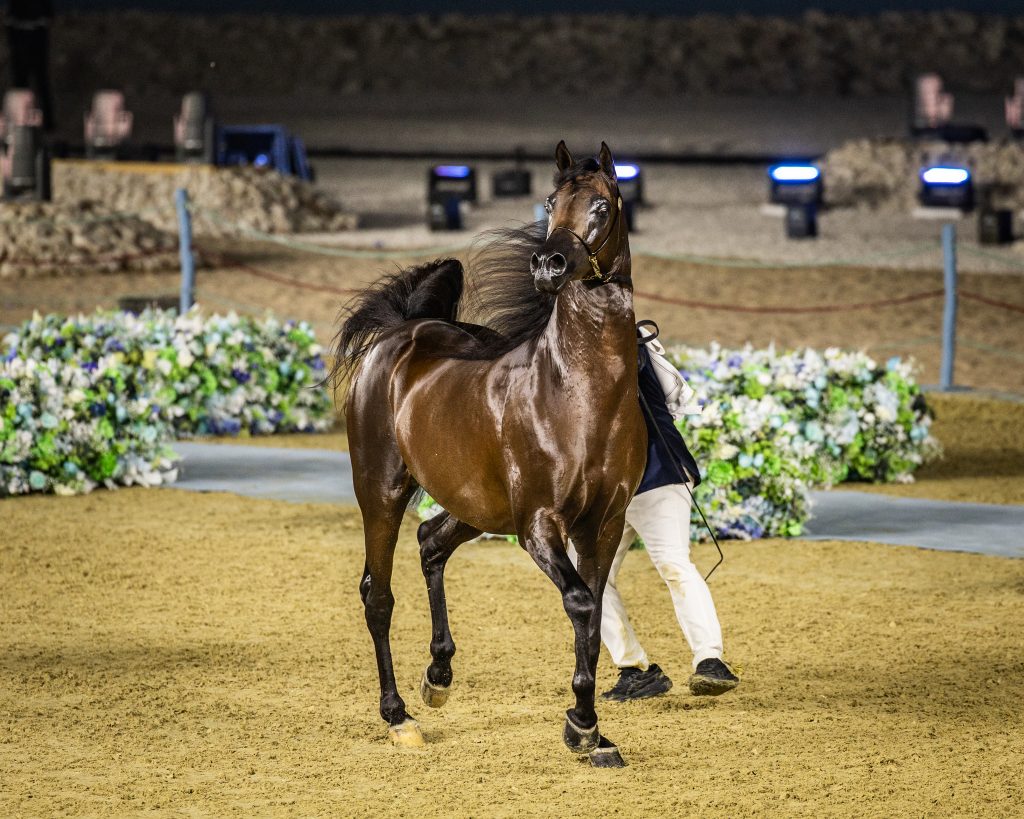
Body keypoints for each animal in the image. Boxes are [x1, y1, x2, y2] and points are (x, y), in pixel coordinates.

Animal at [331, 141, 646, 767]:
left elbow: (596, 614)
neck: (584, 394)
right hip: (382, 491)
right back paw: (398, 715)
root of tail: (402, 332)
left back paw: (438, 675)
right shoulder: (539, 525)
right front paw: (582, 724)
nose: (548, 265)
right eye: (549, 202)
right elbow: (580, 605)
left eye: (602, 205)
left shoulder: (603, 523)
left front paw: (590, 731)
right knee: (378, 595)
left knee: (431, 542)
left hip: (477, 507)